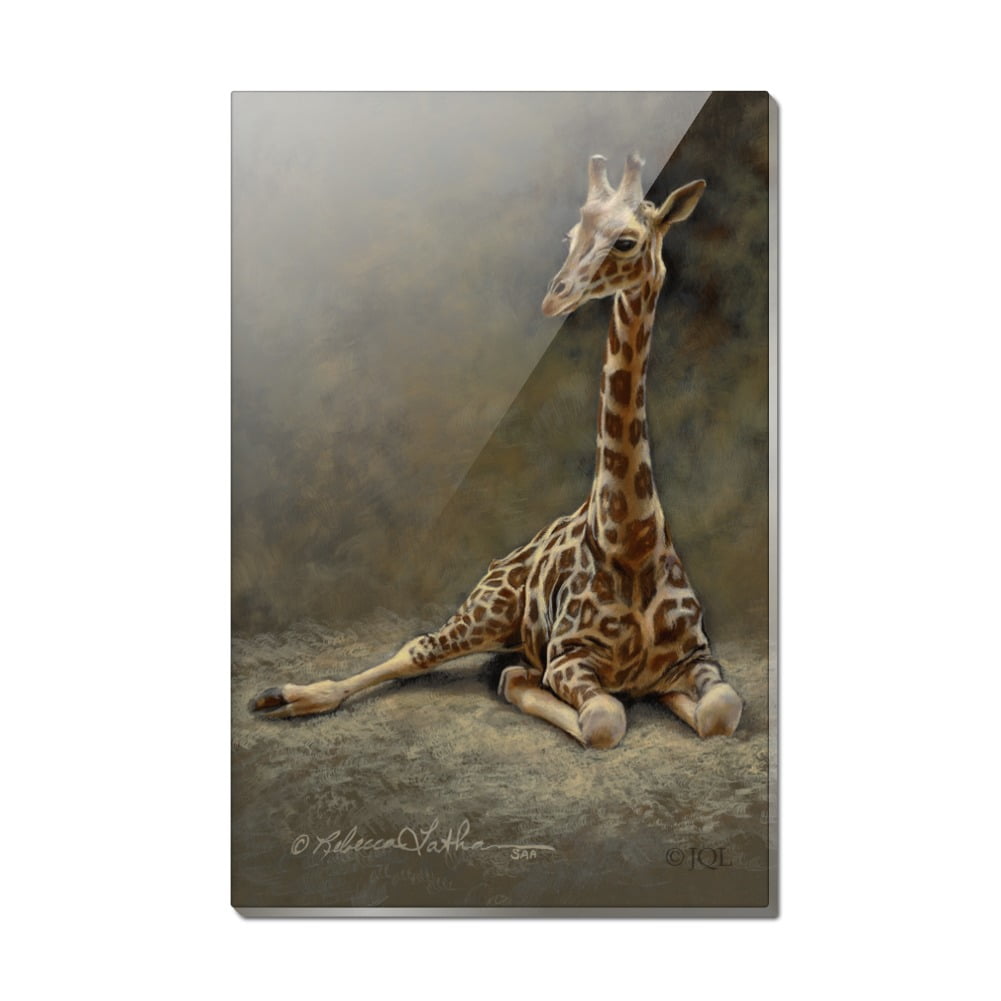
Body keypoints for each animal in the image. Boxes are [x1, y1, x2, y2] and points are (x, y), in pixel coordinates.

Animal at [251, 152, 743, 749]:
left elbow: (720, 710)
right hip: (486, 612)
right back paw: (283, 698)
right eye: (571, 235)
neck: (632, 543)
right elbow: (604, 719)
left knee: (505, 670)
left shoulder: (695, 656)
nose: (555, 295)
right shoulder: (570, 659)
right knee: (420, 649)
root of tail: (501, 560)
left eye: (625, 241)